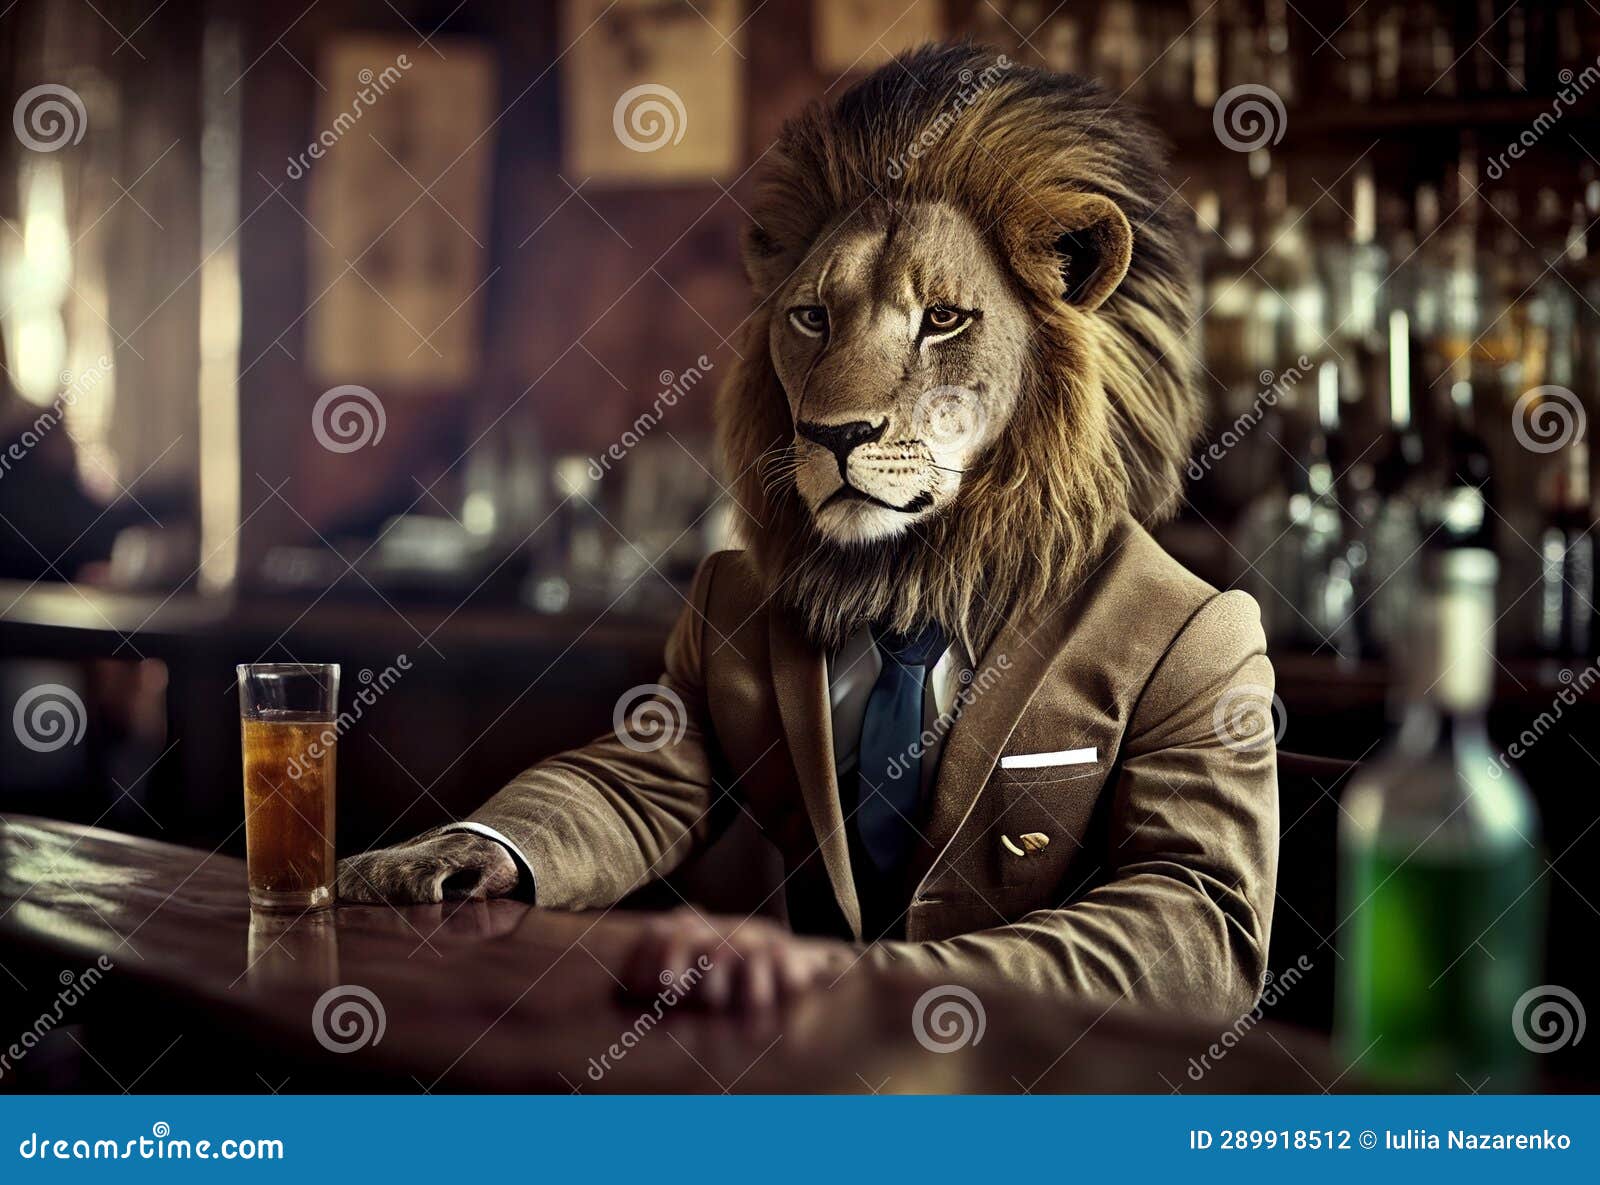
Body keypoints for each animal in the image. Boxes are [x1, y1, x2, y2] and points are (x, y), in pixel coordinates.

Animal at [340, 45, 1277, 1021]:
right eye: (813, 317)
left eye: (943, 318)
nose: (834, 434)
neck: (914, 579)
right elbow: (619, 780)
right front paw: (410, 861)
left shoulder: (1197, 814)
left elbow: (1183, 889)